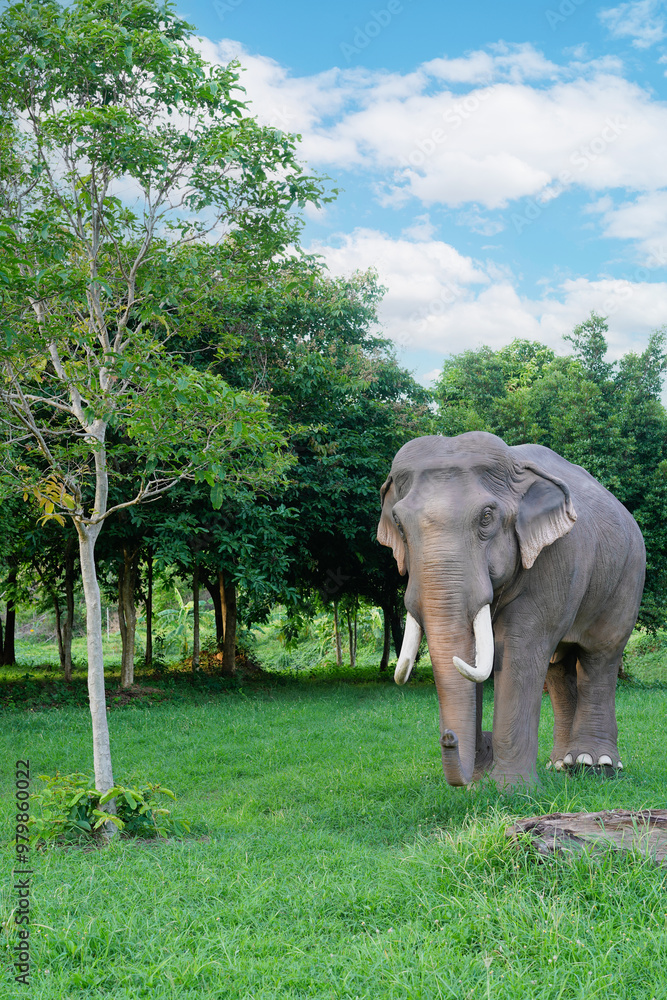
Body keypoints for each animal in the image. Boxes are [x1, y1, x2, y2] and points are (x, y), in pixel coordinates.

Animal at [377, 431, 645, 788]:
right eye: (399, 523)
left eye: (487, 517)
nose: (449, 737)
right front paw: (480, 782)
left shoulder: (555, 557)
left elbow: (520, 647)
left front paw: (509, 789)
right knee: (559, 668)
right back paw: (561, 765)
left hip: (627, 578)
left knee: (600, 657)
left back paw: (594, 765)